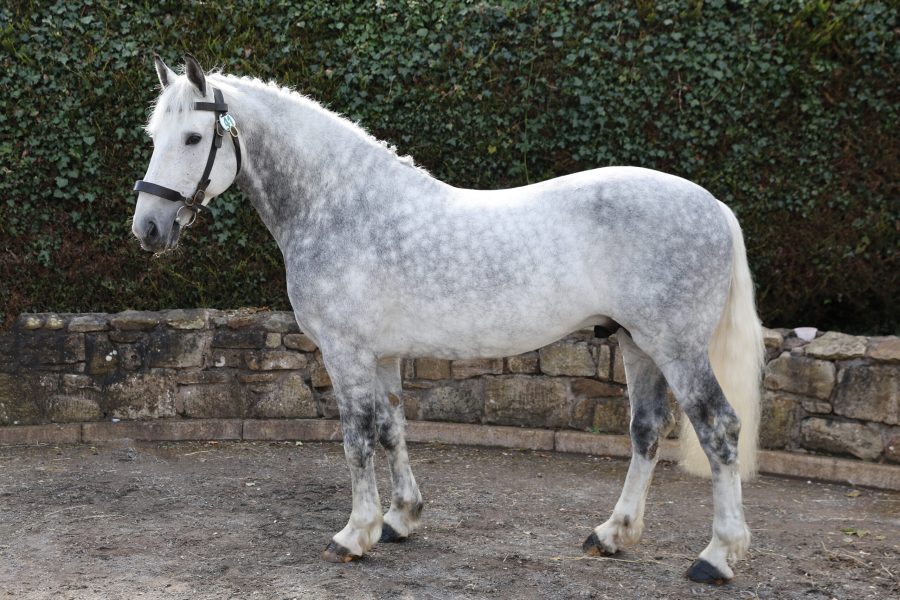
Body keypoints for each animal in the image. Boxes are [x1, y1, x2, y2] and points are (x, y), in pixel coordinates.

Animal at [131, 54, 764, 585]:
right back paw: (612, 535)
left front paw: (354, 535)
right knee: (647, 430)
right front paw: (399, 520)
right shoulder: (383, 354)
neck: (344, 207)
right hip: (637, 344)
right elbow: (391, 429)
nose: (148, 228)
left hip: (677, 347)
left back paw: (715, 556)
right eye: (154, 136)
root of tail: (714, 206)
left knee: (719, 428)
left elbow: (356, 438)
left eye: (194, 137)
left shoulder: (345, 351)